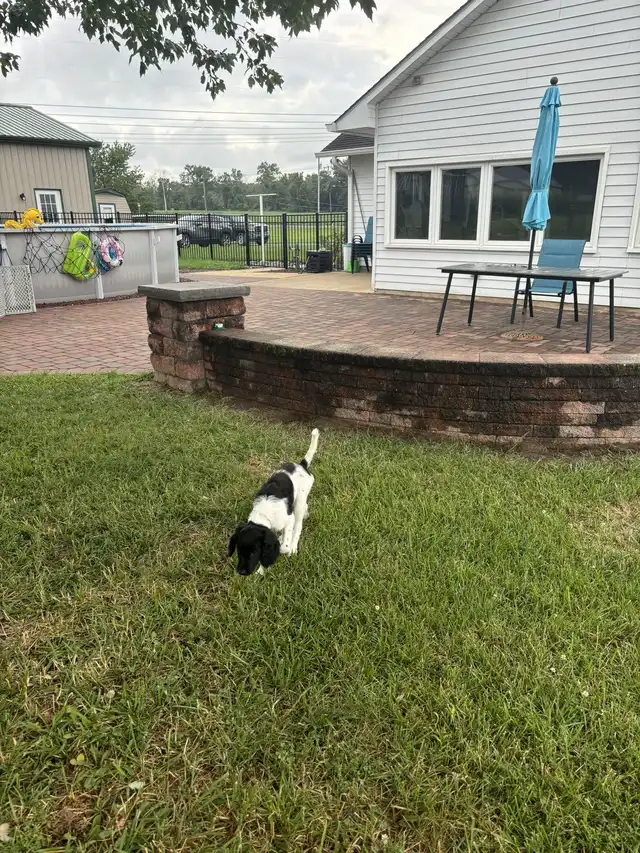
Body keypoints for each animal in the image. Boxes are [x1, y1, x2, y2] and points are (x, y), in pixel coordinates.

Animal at [229, 428, 320, 576]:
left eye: (254, 552)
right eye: (239, 551)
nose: (241, 572)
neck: (263, 515)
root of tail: (301, 465)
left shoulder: (289, 519)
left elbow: (283, 547)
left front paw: (285, 546)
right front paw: (261, 570)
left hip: (299, 501)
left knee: (298, 525)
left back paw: (293, 546)